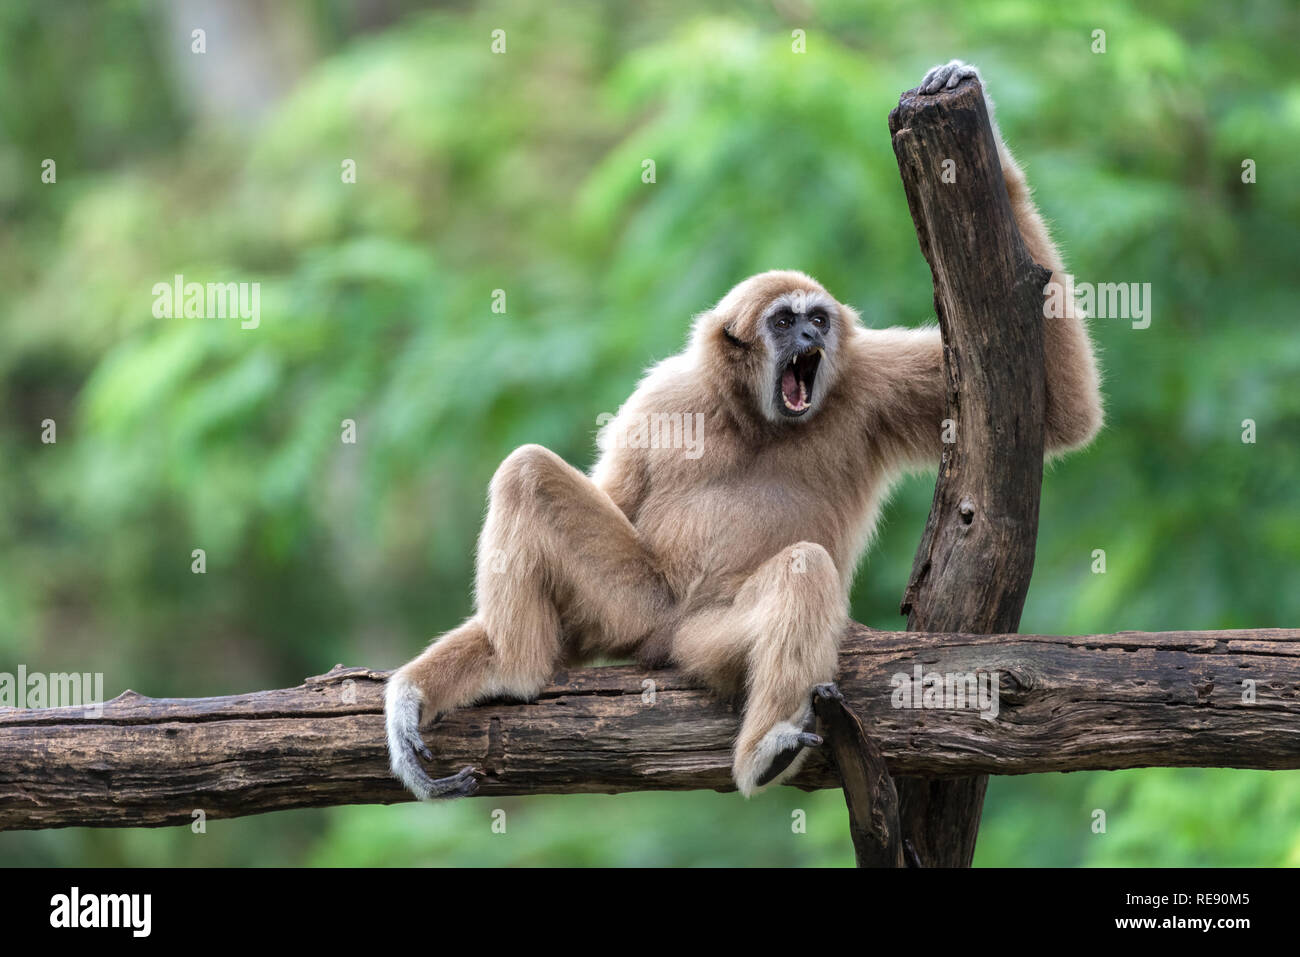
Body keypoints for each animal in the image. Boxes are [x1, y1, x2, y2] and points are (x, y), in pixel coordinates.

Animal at [385, 60, 1103, 800]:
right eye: (785, 321)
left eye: (817, 318)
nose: (811, 337)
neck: (756, 420)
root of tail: (669, 636)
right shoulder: (660, 398)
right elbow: (616, 496)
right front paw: (413, 694)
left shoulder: (867, 379)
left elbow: (1063, 415)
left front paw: (977, 117)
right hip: (638, 604)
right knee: (528, 474)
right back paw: (514, 666)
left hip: (705, 636)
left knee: (801, 568)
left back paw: (763, 746)